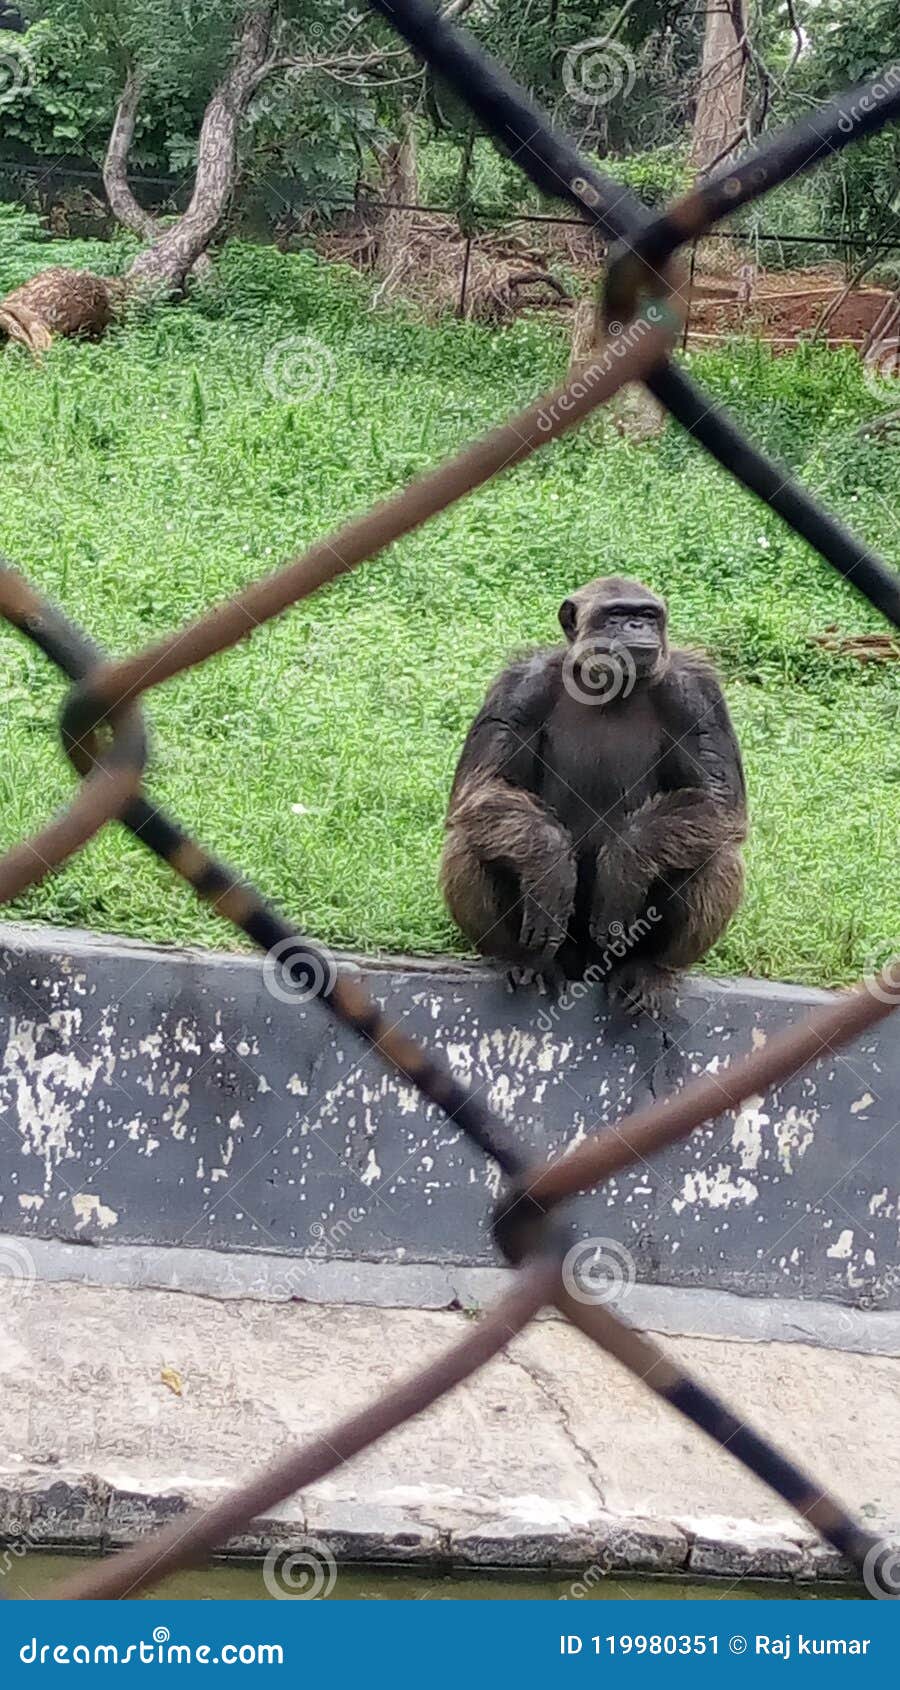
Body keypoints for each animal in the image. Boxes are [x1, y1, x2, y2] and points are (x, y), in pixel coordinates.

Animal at [441, 576, 747, 1015]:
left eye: (647, 614)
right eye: (615, 614)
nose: (637, 627)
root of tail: (584, 968)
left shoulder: (694, 692)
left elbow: (717, 800)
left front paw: (624, 864)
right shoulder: (519, 687)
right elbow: (484, 788)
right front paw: (551, 865)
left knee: (718, 853)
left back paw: (650, 971)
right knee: (471, 837)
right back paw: (523, 962)